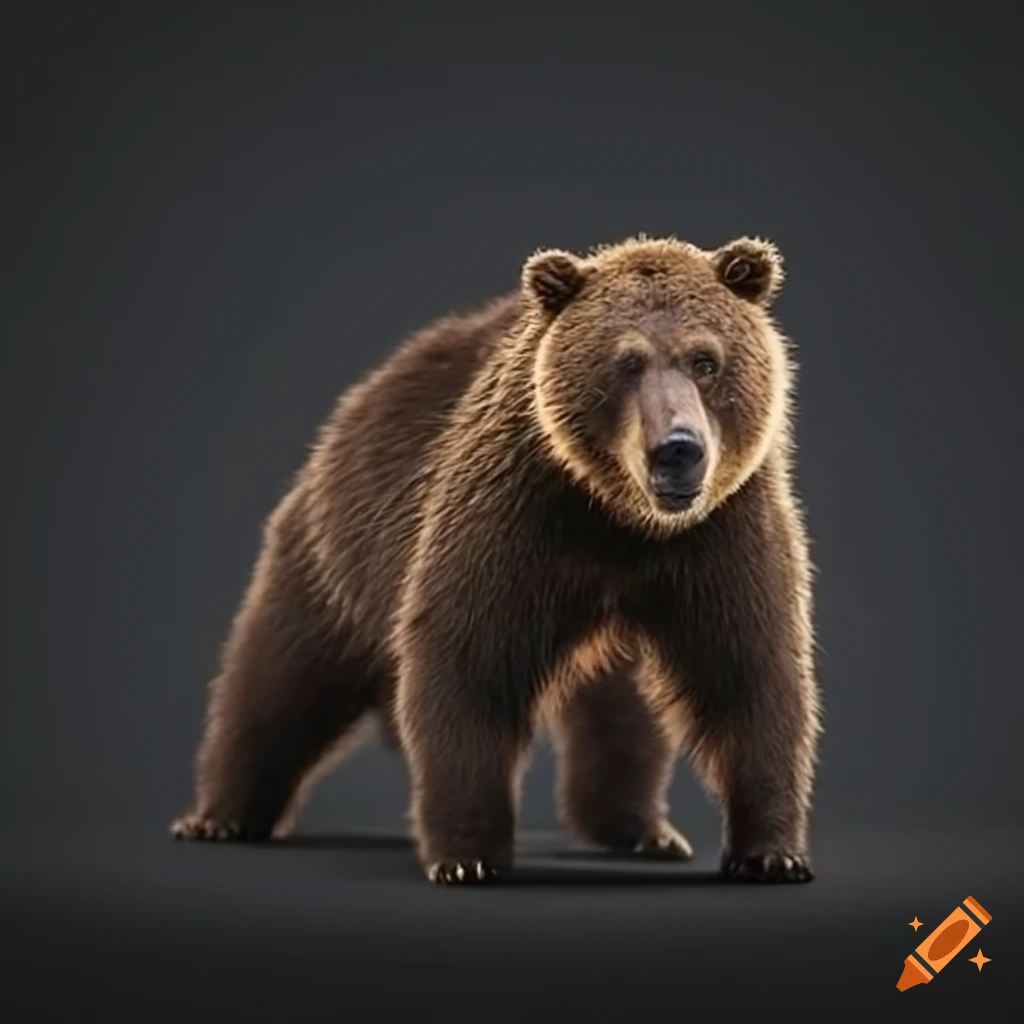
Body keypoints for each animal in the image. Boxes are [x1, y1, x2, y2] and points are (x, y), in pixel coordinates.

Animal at [171, 233, 822, 886]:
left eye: (705, 361)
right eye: (627, 362)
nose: (678, 450)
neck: (622, 522)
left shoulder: (724, 535)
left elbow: (751, 677)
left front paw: (772, 853)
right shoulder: (513, 515)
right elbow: (467, 665)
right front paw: (468, 856)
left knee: (624, 712)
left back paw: (644, 831)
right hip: (335, 554)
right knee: (278, 678)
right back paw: (220, 816)